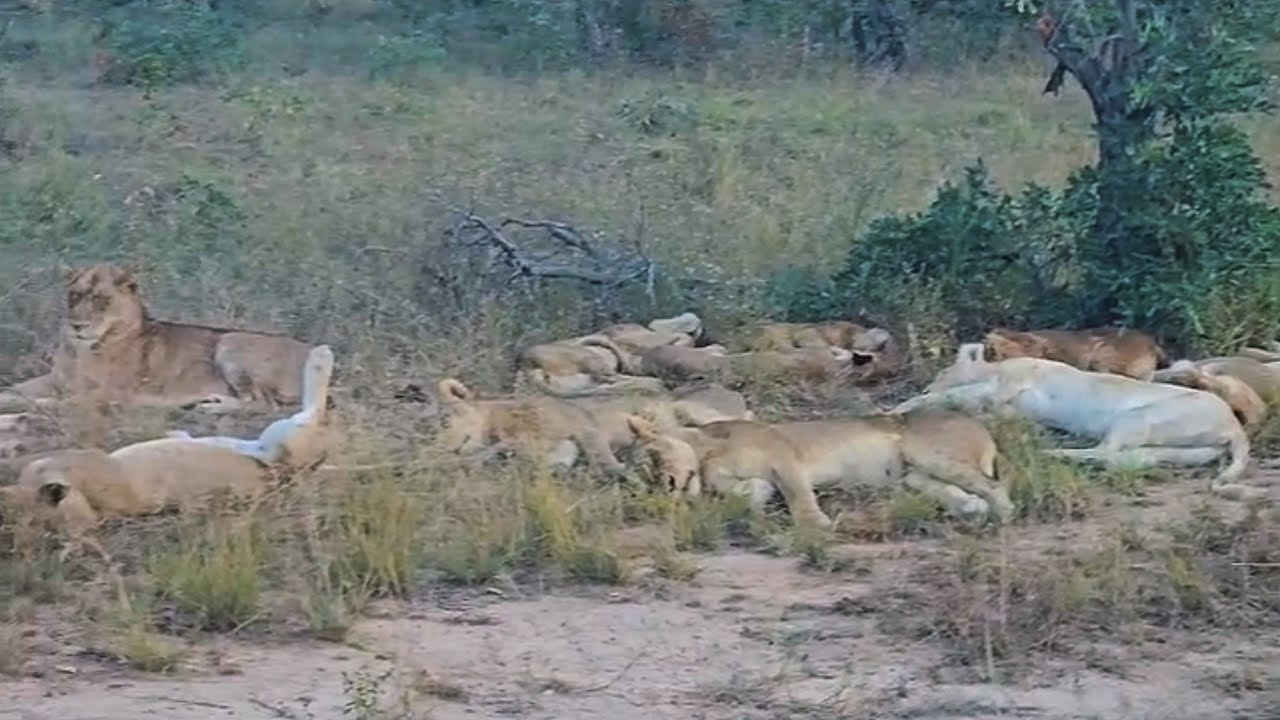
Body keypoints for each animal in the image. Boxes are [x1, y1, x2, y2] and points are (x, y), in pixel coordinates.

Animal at [0, 264, 318, 413]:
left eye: (101, 300)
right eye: (74, 296)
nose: (77, 325)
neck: (82, 350)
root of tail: (312, 348)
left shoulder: (107, 394)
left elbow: (54, 402)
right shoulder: (55, 380)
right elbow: (15, 389)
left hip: (232, 342)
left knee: (264, 403)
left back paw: (211, 406)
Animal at [893, 343, 1254, 498]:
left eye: (942, 370)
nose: (926, 383)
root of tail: (1234, 426)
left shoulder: (1008, 384)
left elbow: (956, 396)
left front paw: (905, 405)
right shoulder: (1012, 404)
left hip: (1138, 416)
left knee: (1105, 451)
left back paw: (1051, 454)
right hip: (1181, 448)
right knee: (1125, 458)